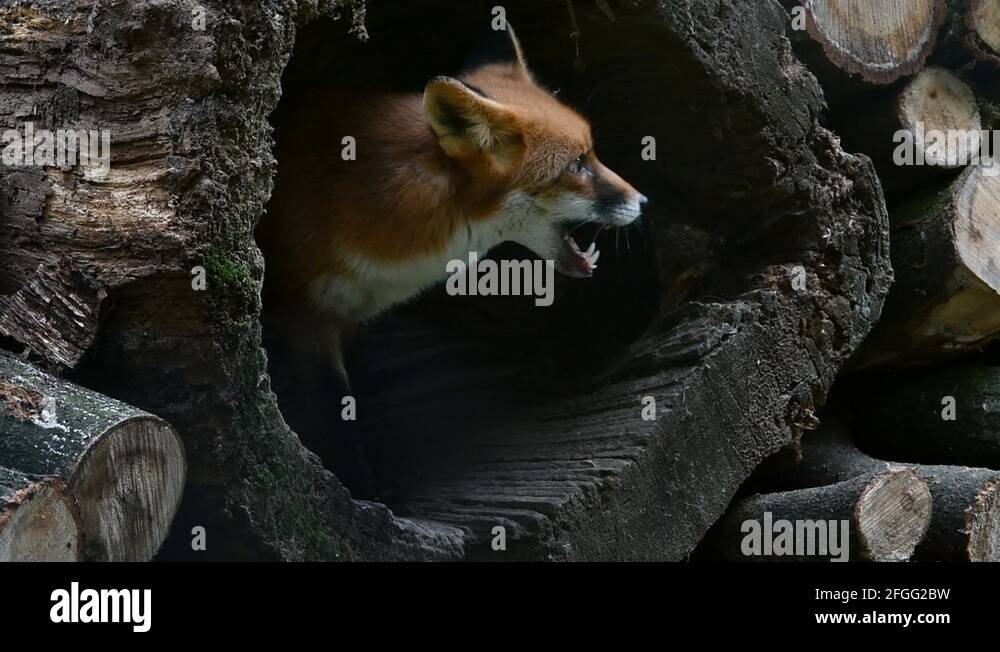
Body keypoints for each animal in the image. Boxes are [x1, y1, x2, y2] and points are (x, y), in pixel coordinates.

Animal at [258, 24, 647, 493]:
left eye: (592, 154)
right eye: (576, 164)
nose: (644, 201)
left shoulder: (347, 318)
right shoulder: (306, 316)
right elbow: (336, 415)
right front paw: (362, 494)